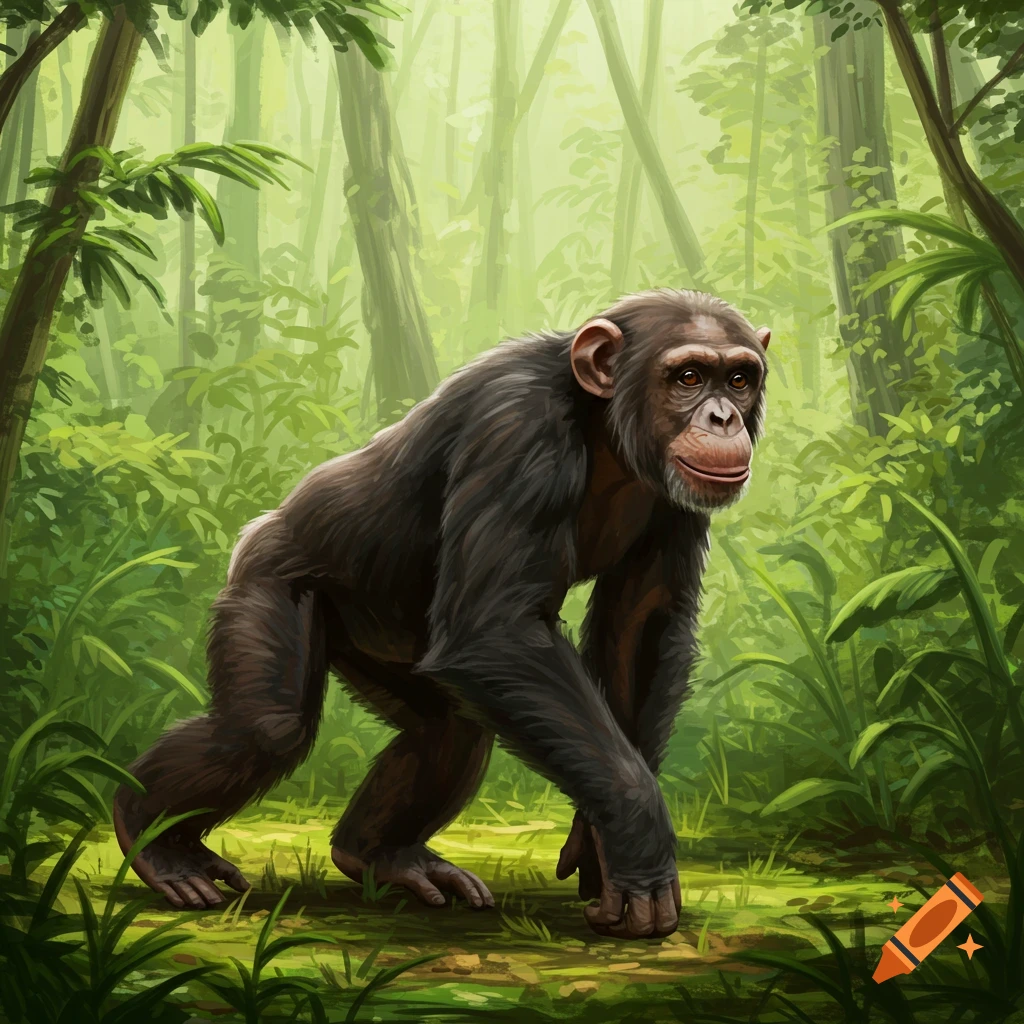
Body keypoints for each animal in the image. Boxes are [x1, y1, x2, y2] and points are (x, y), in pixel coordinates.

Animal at [113, 288, 769, 941]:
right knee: (262, 731)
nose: (723, 417)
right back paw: (154, 837)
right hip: (269, 582)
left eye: (739, 379)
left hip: (380, 644)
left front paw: (598, 840)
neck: (603, 426)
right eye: (688, 377)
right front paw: (639, 833)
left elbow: (642, 623)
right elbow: (495, 629)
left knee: (449, 731)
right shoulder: (516, 431)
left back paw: (381, 855)